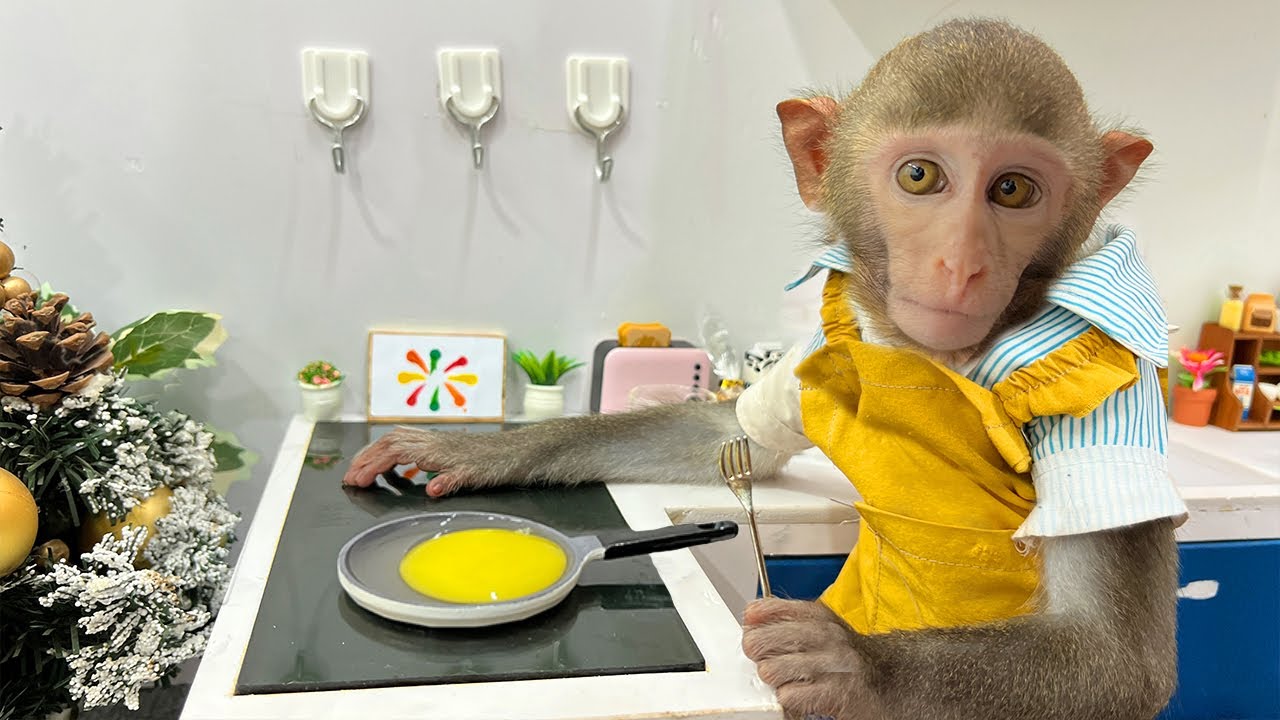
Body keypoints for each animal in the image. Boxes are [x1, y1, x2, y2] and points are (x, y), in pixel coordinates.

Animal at [344, 18, 1184, 720]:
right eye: (921, 178)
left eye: (1013, 190)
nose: (961, 263)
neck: (933, 360)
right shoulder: (821, 346)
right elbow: (728, 436)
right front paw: (471, 451)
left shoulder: (1111, 390)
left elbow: (1115, 660)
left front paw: (848, 666)